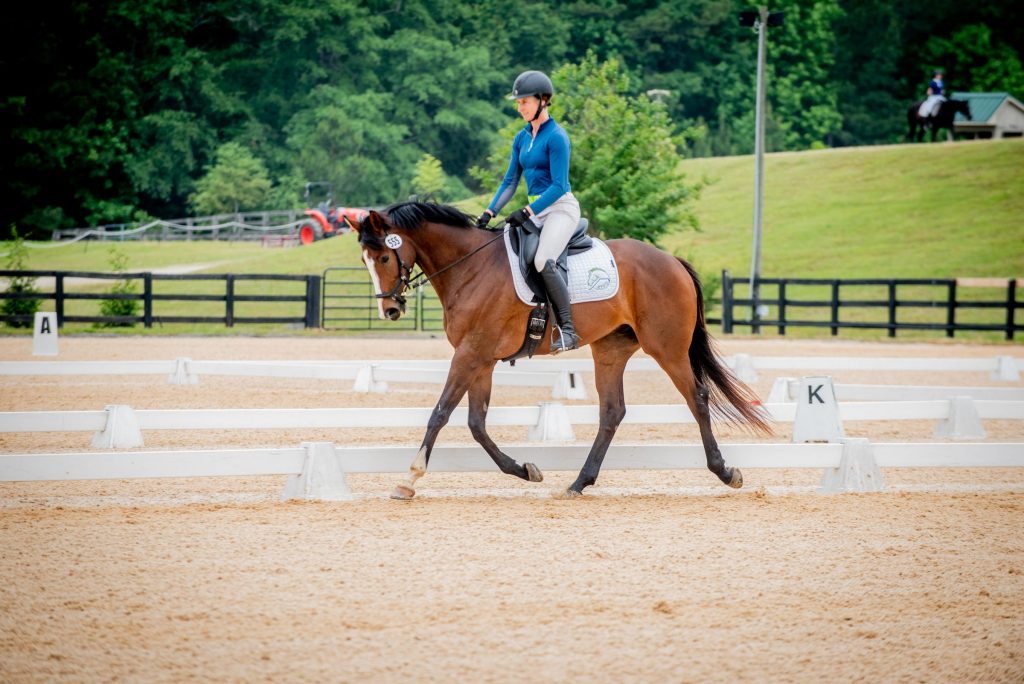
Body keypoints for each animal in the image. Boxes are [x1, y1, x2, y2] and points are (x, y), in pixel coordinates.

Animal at [356, 201, 772, 499]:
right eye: (366, 260)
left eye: (384, 257)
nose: (389, 309)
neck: (470, 268)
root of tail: (672, 261)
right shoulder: (481, 358)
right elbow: (476, 424)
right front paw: (525, 470)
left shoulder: (471, 354)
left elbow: (440, 413)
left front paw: (409, 479)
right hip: (611, 350)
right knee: (612, 411)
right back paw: (578, 483)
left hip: (667, 348)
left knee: (697, 397)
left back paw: (725, 472)